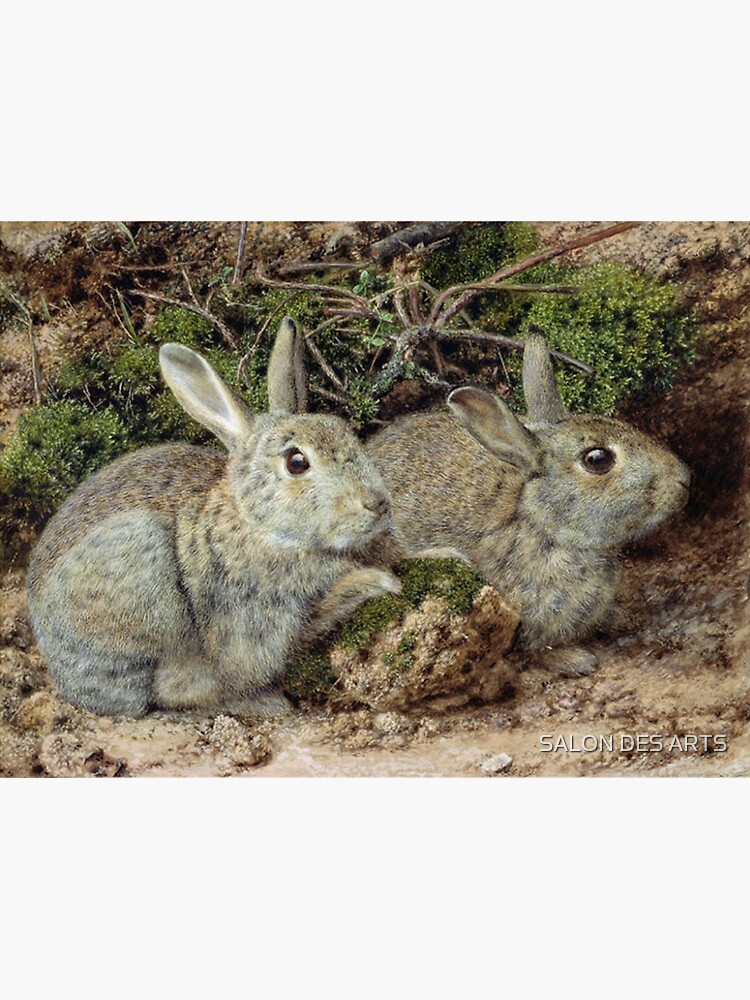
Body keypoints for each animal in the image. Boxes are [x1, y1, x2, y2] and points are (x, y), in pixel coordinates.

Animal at [27, 317, 401, 718]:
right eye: (297, 462)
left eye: (346, 432)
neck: (257, 525)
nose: (377, 504)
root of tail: (60, 671)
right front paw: (377, 583)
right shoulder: (254, 621)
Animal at [367, 332, 691, 676]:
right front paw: (577, 660)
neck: (543, 524)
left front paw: (620, 617)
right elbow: (535, 653)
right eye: (597, 459)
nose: (684, 479)